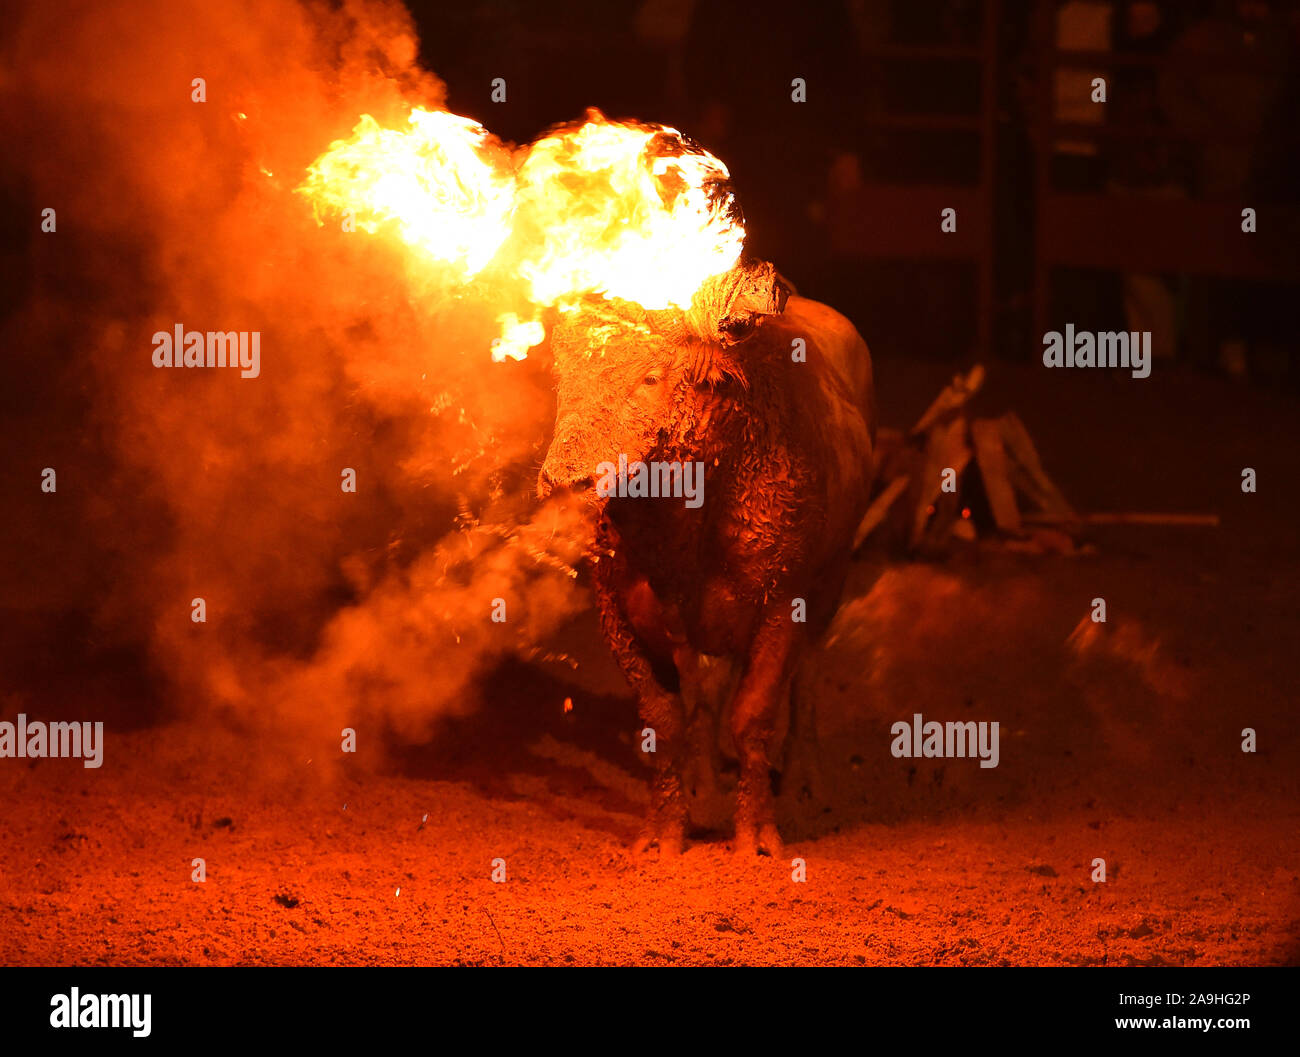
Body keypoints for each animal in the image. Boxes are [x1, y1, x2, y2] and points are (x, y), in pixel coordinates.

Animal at [538, 291, 875, 856]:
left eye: (651, 376)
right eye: (562, 378)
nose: (567, 479)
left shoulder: (784, 604)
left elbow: (752, 716)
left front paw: (756, 836)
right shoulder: (619, 616)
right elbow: (665, 720)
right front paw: (663, 834)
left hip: (830, 583)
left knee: (805, 678)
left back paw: (806, 780)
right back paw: (704, 780)